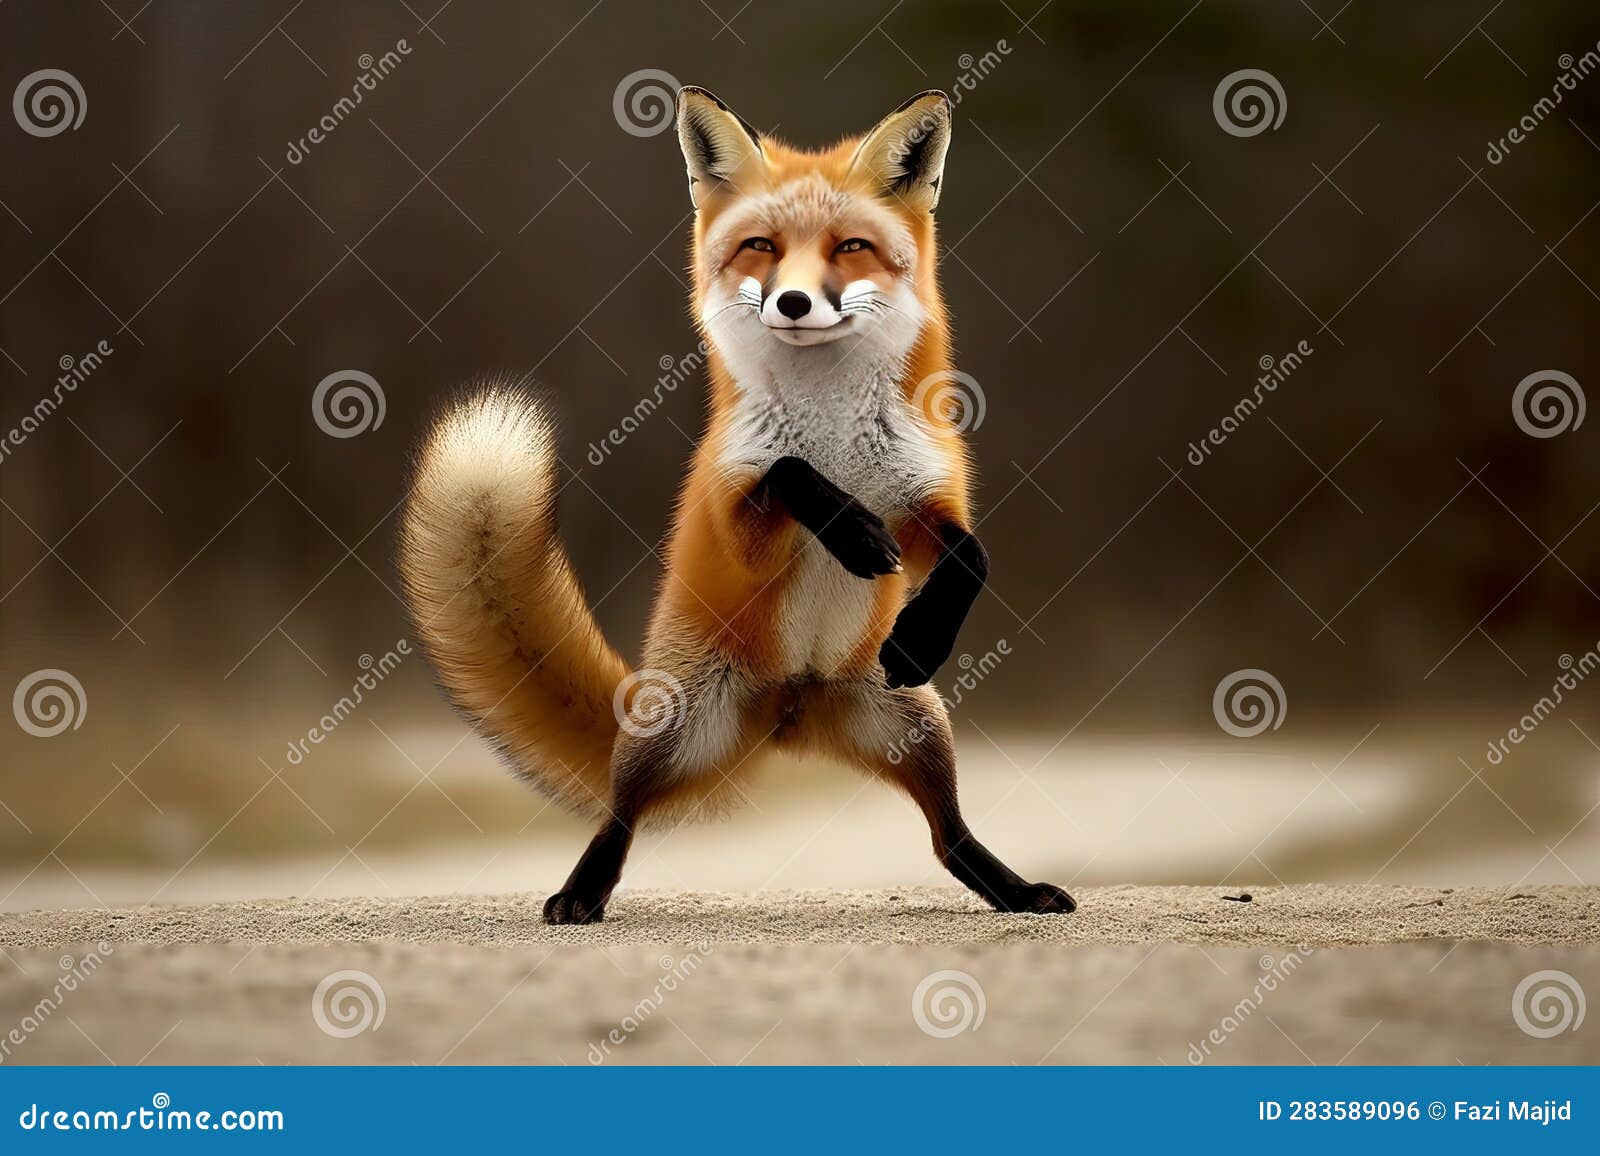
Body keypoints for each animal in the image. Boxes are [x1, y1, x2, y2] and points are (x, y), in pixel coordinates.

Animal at [398, 86, 1076, 924]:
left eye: (850, 247)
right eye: (761, 246)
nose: (793, 300)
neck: (833, 429)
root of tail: (790, 713)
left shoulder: (924, 499)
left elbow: (971, 556)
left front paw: (922, 633)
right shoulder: (736, 517)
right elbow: (791, 472)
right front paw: (850, 533)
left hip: (919, 727)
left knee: (948, 840)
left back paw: (1016, 890)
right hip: (667, 731)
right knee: (617, 816)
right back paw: (580, 893)